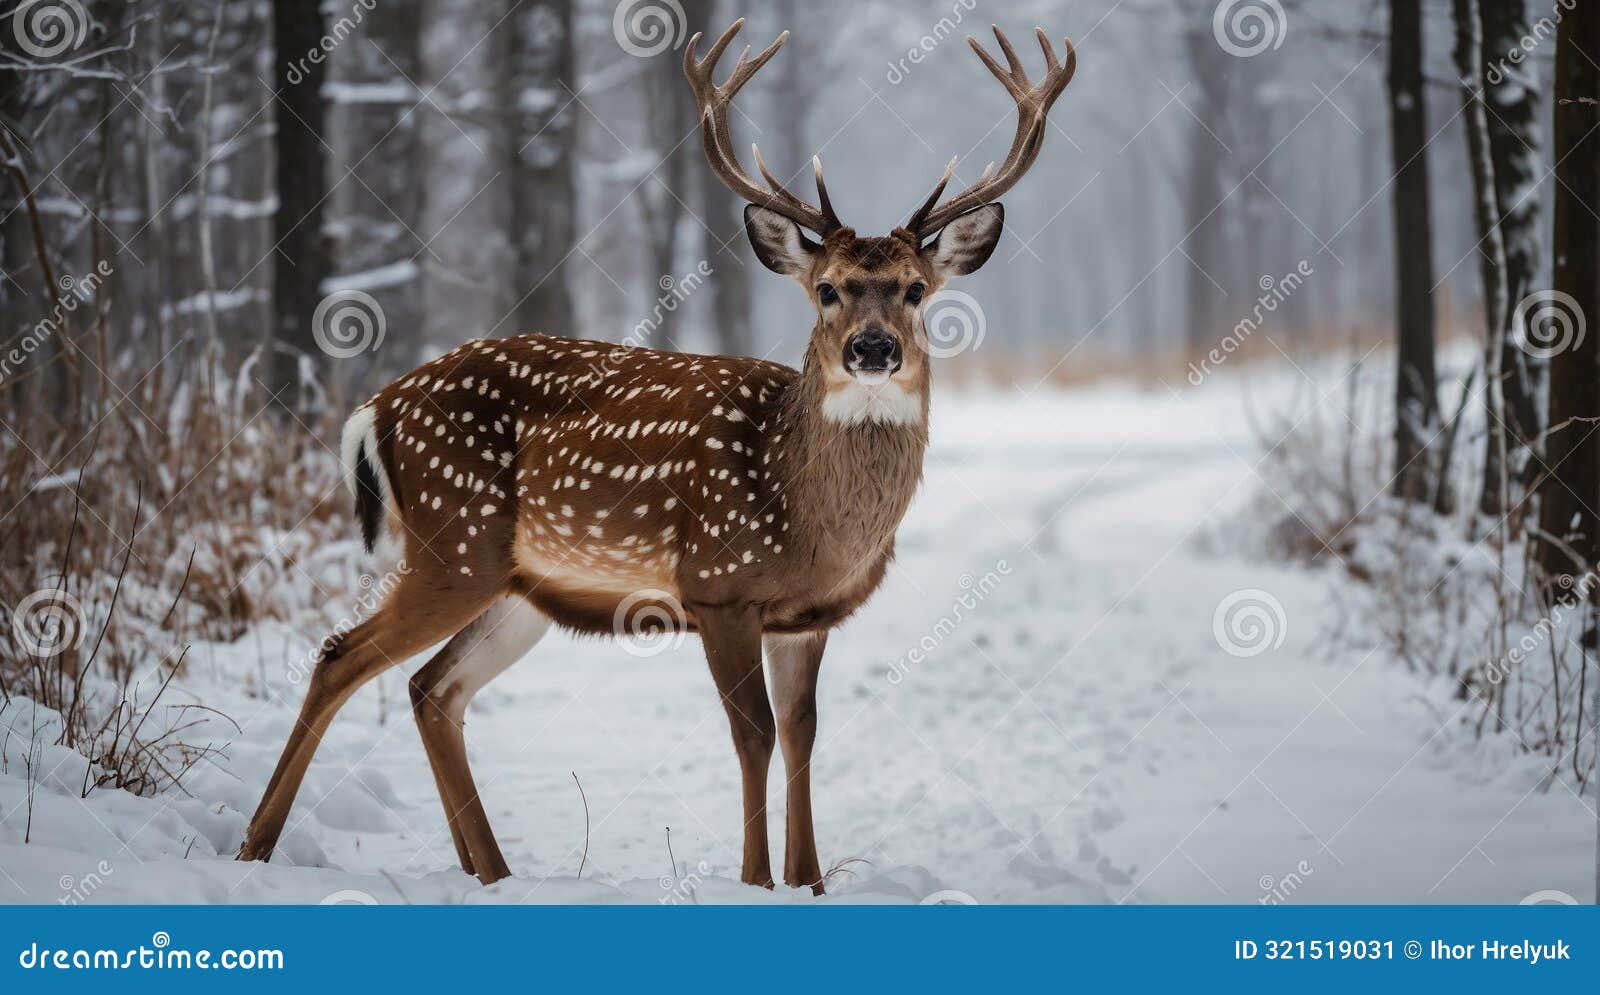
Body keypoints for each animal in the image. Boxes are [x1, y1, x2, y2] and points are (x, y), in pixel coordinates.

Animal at [237, 19, 1074, 894]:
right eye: (828, 288)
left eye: (915, 288)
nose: (872, 349)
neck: (803, 508)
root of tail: (376, 408)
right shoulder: (719, 583)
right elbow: (754, 732)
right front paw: (756, 880)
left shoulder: (806, 616)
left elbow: (804, 731)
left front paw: (809, 881)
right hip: (452, 539)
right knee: (340, 655)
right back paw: (257, 846)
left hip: (515, 584)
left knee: (434, 686)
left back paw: (492, 872)